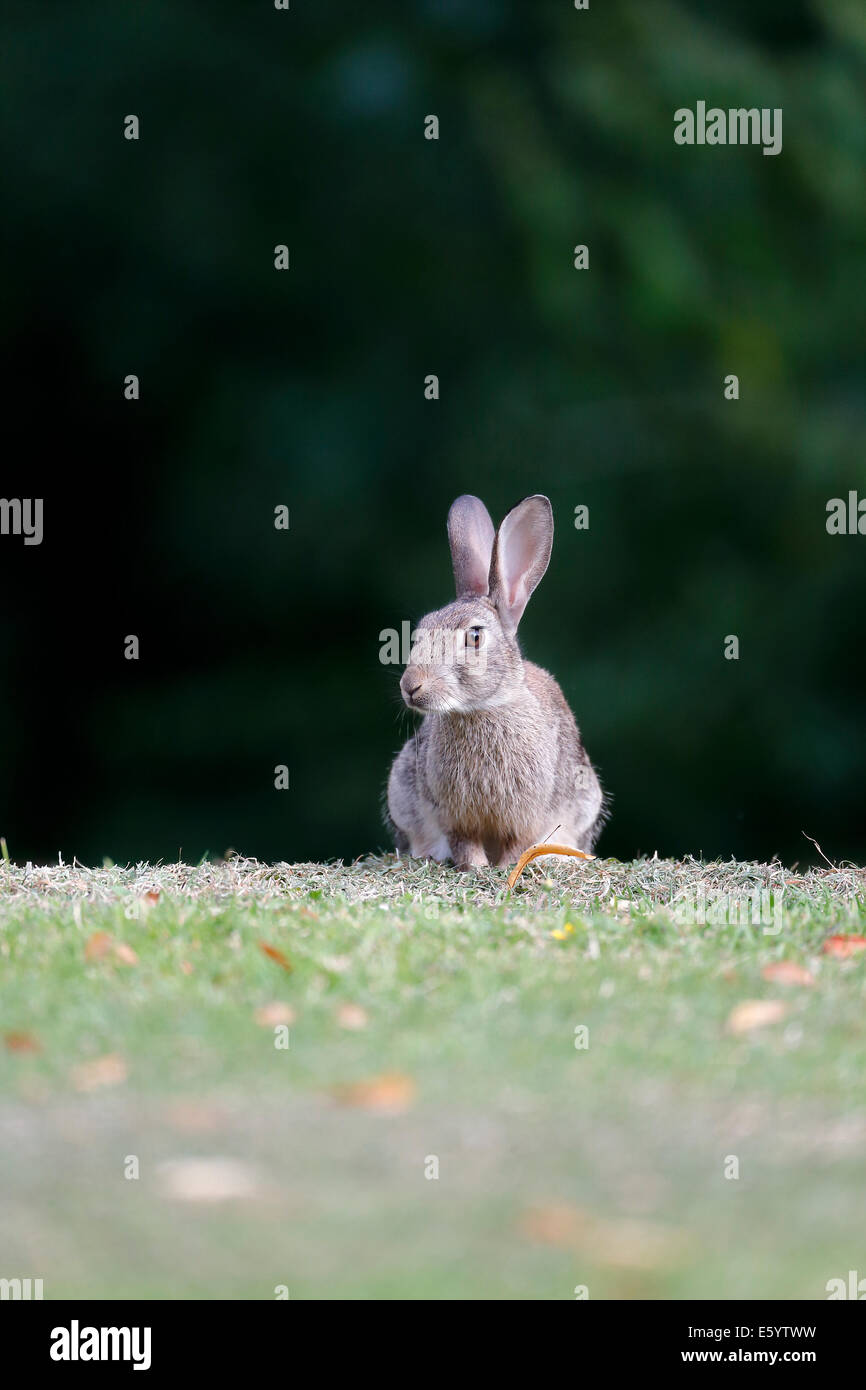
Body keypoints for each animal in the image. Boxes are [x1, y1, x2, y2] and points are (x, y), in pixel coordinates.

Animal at [386, 493, 606, 869]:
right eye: (420, 631)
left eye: (475, 636)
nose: (411, 686)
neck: (482, 708)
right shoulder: (455, 817)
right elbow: (464, 842)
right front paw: (475, 867)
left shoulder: (528, 816)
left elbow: (517, 845)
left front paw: (503, 869)